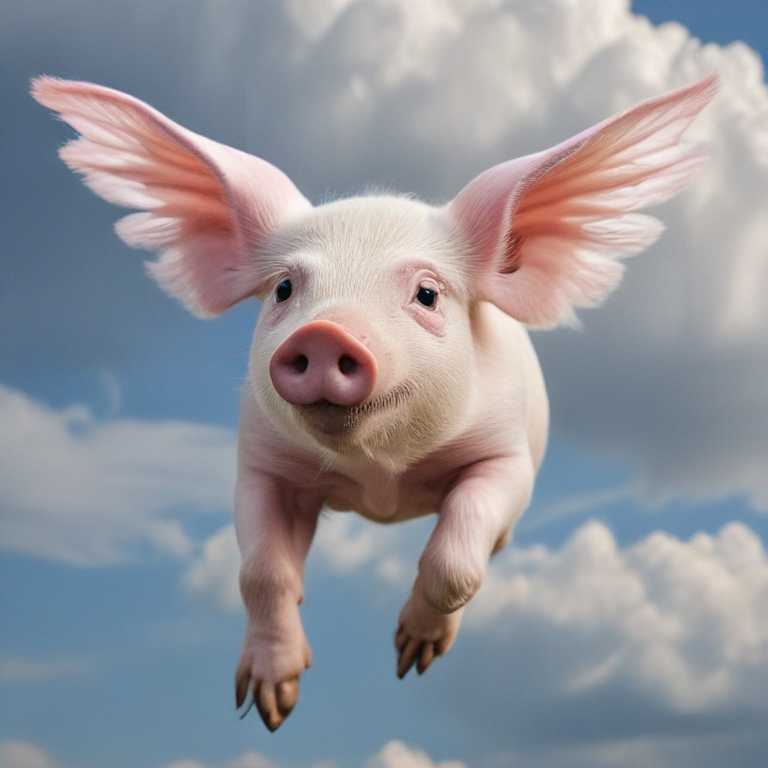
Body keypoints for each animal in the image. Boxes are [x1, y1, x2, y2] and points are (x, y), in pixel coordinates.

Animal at [32, 73, 718, 730]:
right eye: (285, 289)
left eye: (427, 294)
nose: (324, 332)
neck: (380, 482)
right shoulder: (259, 462)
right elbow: (261, 573)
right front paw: (270, 709)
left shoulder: (507, 458)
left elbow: (455, 563)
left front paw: (407, 657)